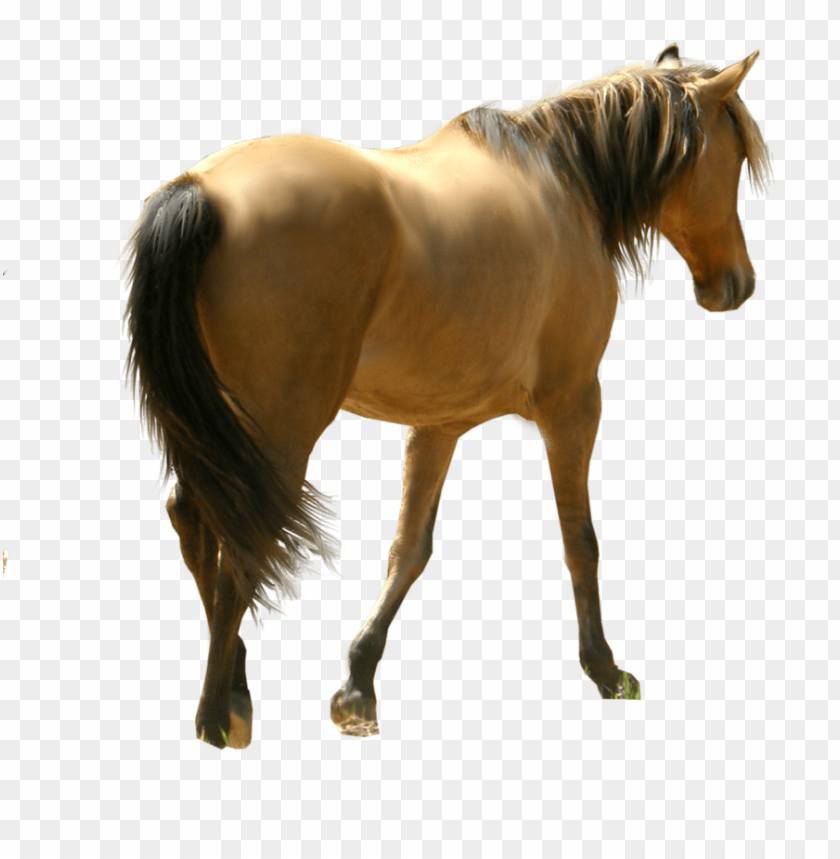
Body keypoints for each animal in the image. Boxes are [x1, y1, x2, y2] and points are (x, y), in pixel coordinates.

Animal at [124, 44, 770, 748]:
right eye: (734, 156)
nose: (736, 285)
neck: (565, 186)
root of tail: (201, 190)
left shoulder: (439, 424)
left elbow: (409, 549)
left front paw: (359, 684)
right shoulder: (573, 404)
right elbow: (580, 541)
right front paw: (605, 669)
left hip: (219, 425)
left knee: (194, 519)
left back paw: (235, 687)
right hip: (280, 428)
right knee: (239, 540)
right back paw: (217, 715)